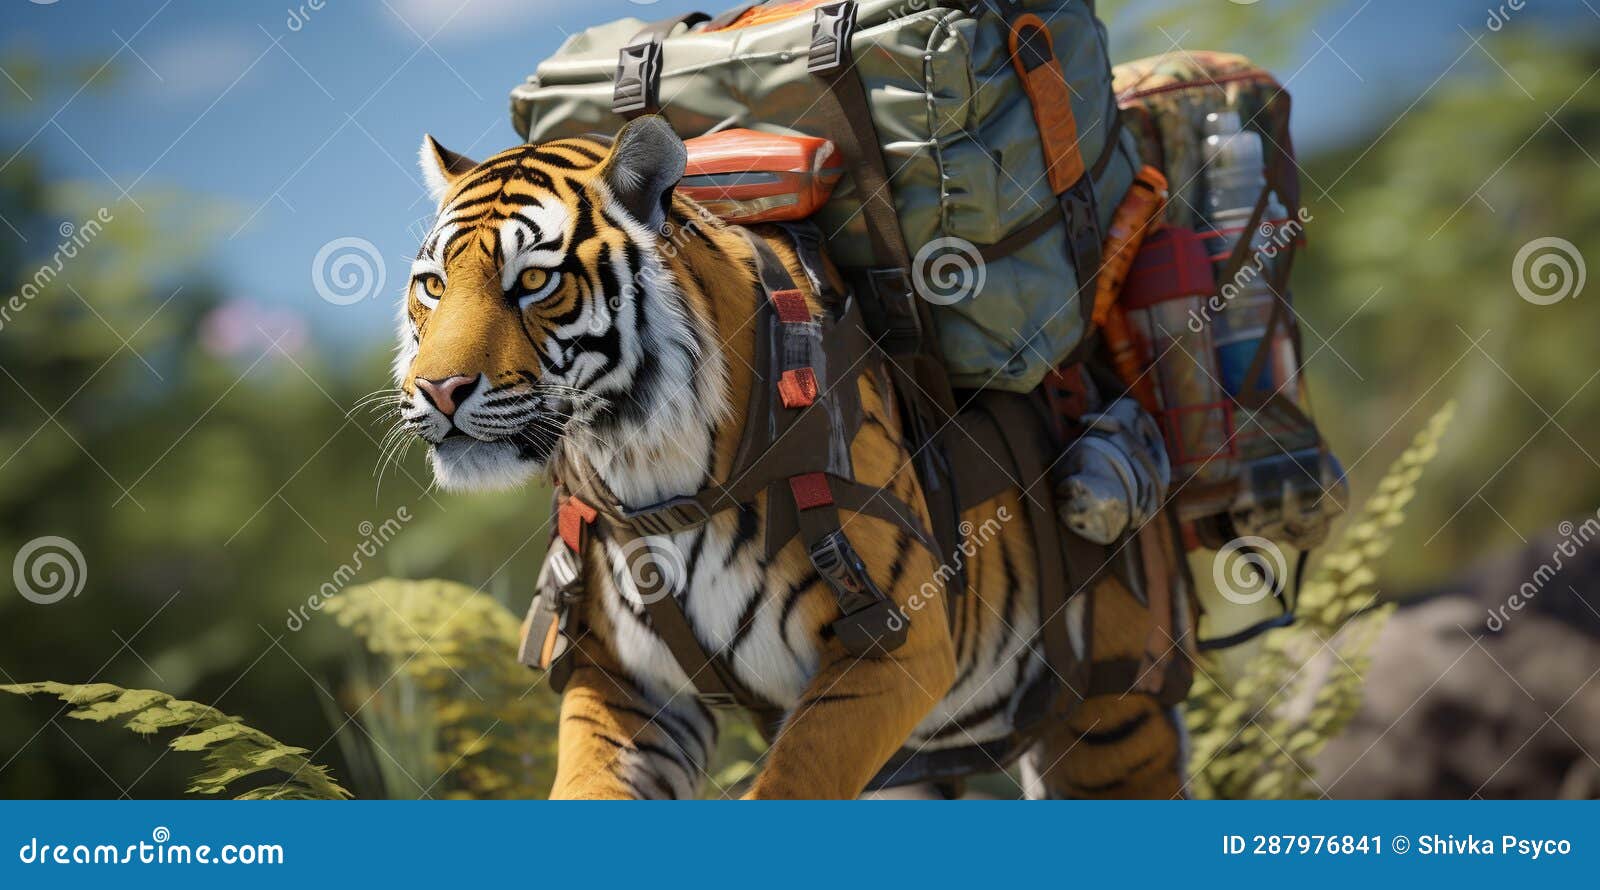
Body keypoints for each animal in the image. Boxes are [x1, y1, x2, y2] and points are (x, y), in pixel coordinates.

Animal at [393, 115, 1188, 799]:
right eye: (433, 285)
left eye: (534, 280)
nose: (437, 388)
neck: (648, 464)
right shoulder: (626, 684)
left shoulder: (897, 642)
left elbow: (792, 780)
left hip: (1110, 722)